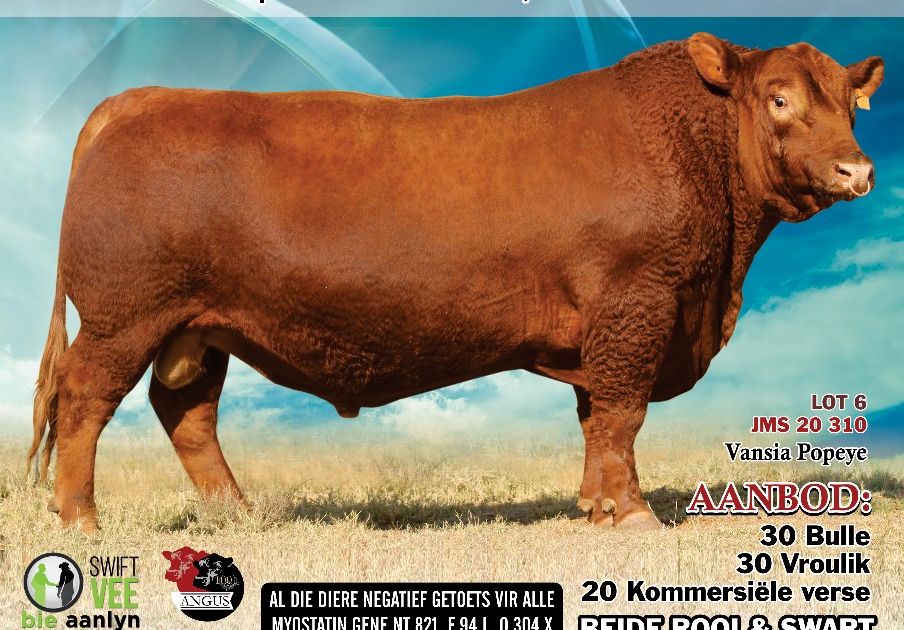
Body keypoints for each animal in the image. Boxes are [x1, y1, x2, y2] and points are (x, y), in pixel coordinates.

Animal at [26, 33, 883, 533]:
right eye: (779, 98)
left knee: (186, 413)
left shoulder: (610, 327)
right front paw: (634, 515)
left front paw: (595, 507)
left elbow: (596, 420)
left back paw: (238, 515)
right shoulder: (636, 305)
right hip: (125, 316)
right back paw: (80, 522)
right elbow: (622, 414)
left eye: (851, 103)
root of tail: (138, 98)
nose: (858, 169)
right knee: (86, 401)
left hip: (198, 330)